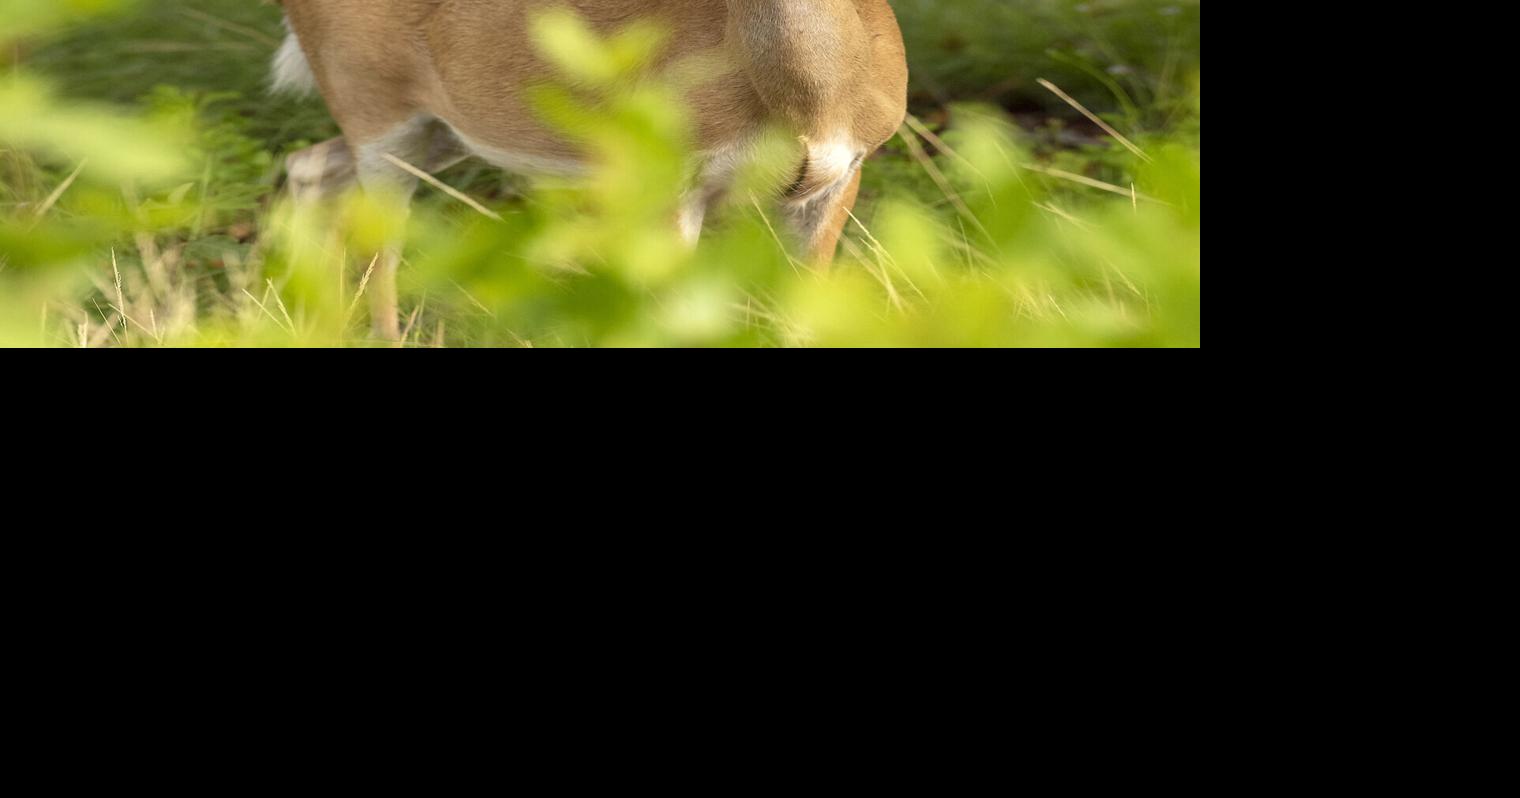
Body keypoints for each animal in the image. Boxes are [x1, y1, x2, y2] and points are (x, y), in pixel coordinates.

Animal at [271, 0, 909, 341]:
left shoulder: (842, 174)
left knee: (308, 165)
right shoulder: (664, 179)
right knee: (378, 250)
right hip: (372, 101)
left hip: (440, 131)